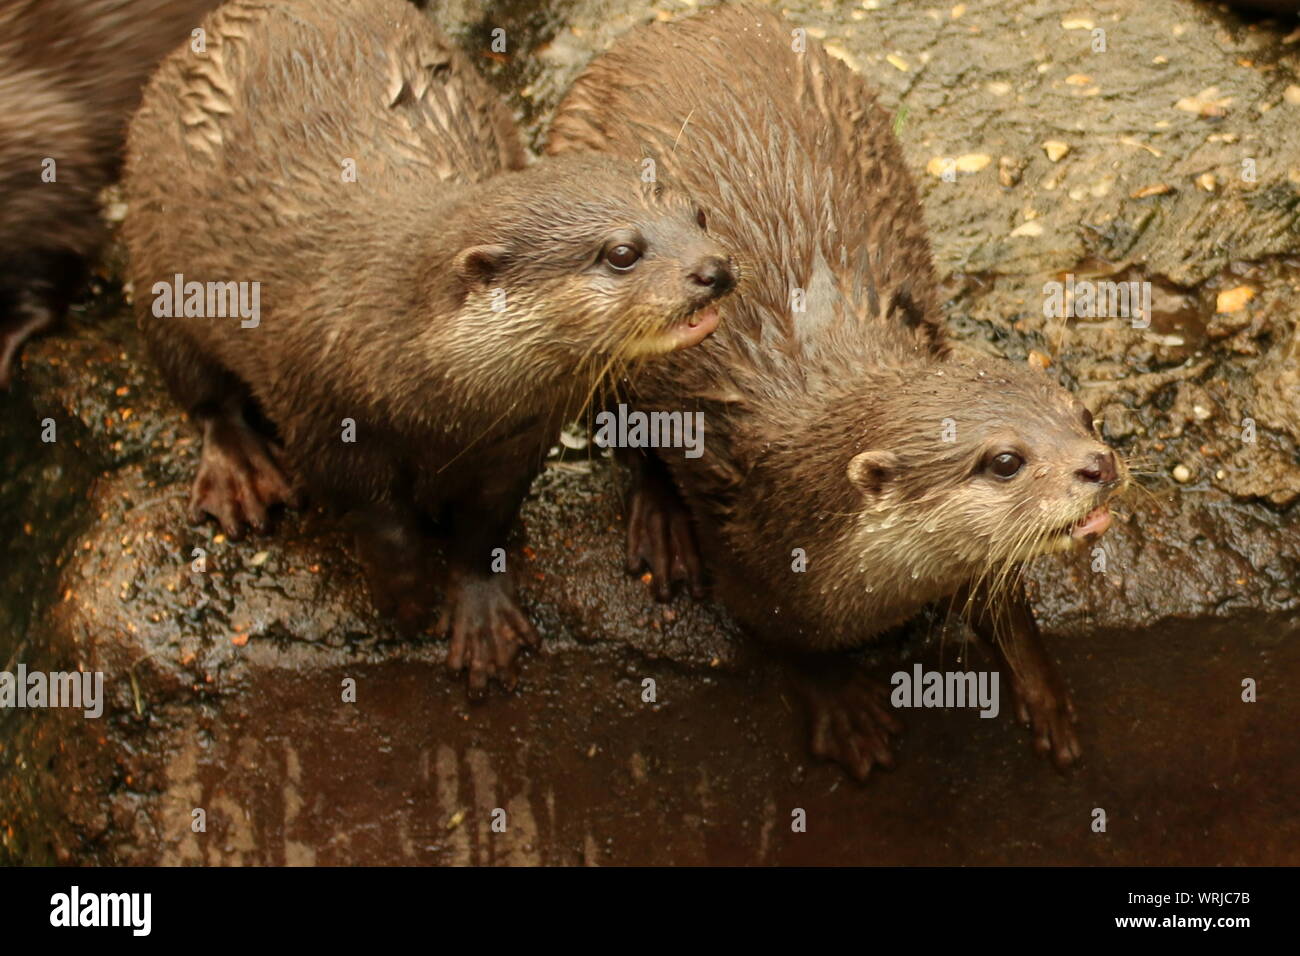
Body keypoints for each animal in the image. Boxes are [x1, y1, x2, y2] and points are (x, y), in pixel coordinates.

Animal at [125, 0, 735, 691]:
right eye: (623, 252)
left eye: (699, 214)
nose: (714, 269)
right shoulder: (319, 418)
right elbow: (376, 520)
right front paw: (406, 597)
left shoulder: (518, 443)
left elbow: (485, 528)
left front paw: (480, 614)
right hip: (155, 259)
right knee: (202, 392)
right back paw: (238, 472)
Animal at [549, 4, 1128, 777]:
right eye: (1005, 461)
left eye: (1084, 414)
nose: (1100, 464)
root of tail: (678, 24)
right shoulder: (750, 563)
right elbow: (787, 644)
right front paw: (844, 710)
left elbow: (1004, 607)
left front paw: (1045, 696)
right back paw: (661, 524)